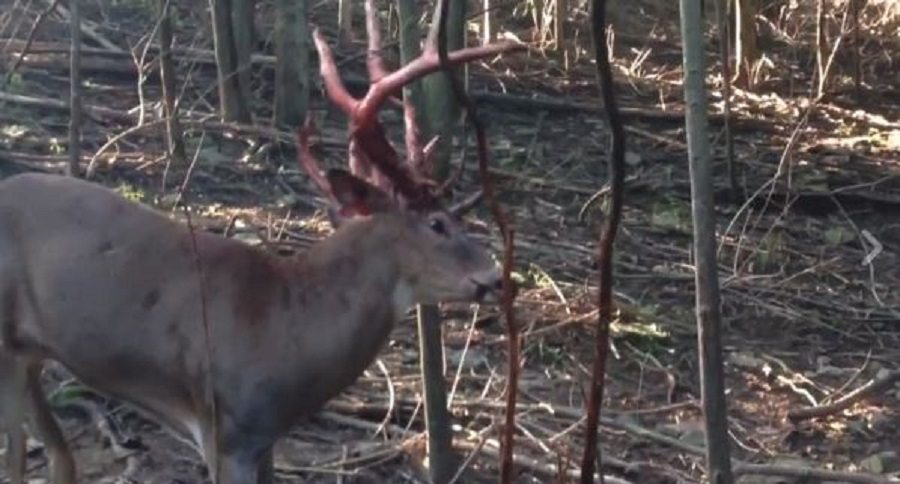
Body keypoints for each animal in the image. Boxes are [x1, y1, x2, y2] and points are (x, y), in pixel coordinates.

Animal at [0, 1, 522, 483]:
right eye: (436, 223)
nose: (495, 277)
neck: (287, 325)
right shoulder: (224, 428)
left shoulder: (264, 439)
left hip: (31, 352)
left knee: (53, 453)